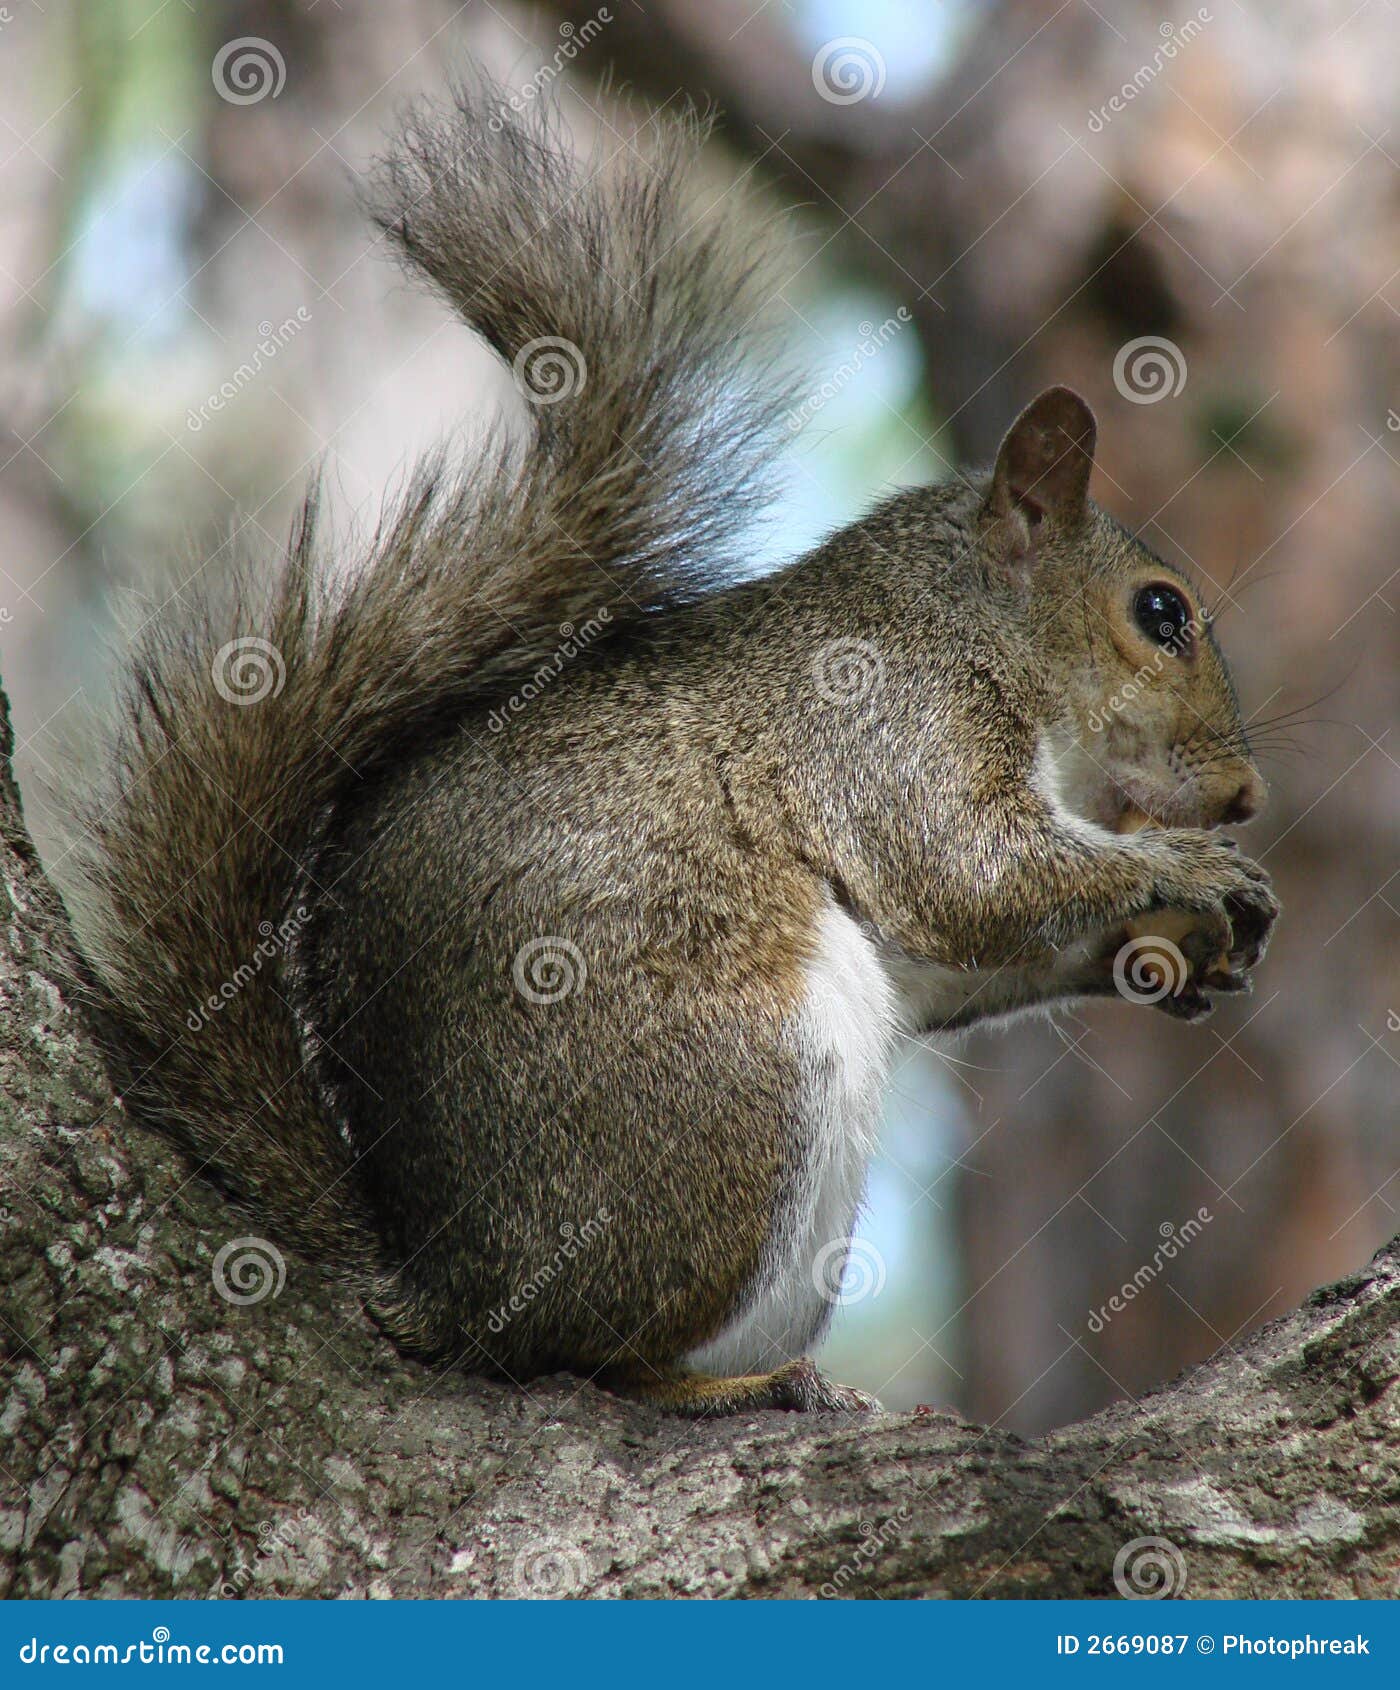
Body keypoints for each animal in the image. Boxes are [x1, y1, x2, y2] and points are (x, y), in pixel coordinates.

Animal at [67, 84, 1278, 1417]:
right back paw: (720, 1386)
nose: (1242, 794)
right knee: (584, 1350)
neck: (964, 618)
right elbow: (969, 873)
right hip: (734, 1092)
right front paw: (1190, 872)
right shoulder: (888, 724)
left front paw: (1162, 952)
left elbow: (960, 956)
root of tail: (442, 1280)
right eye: (1158, 614)